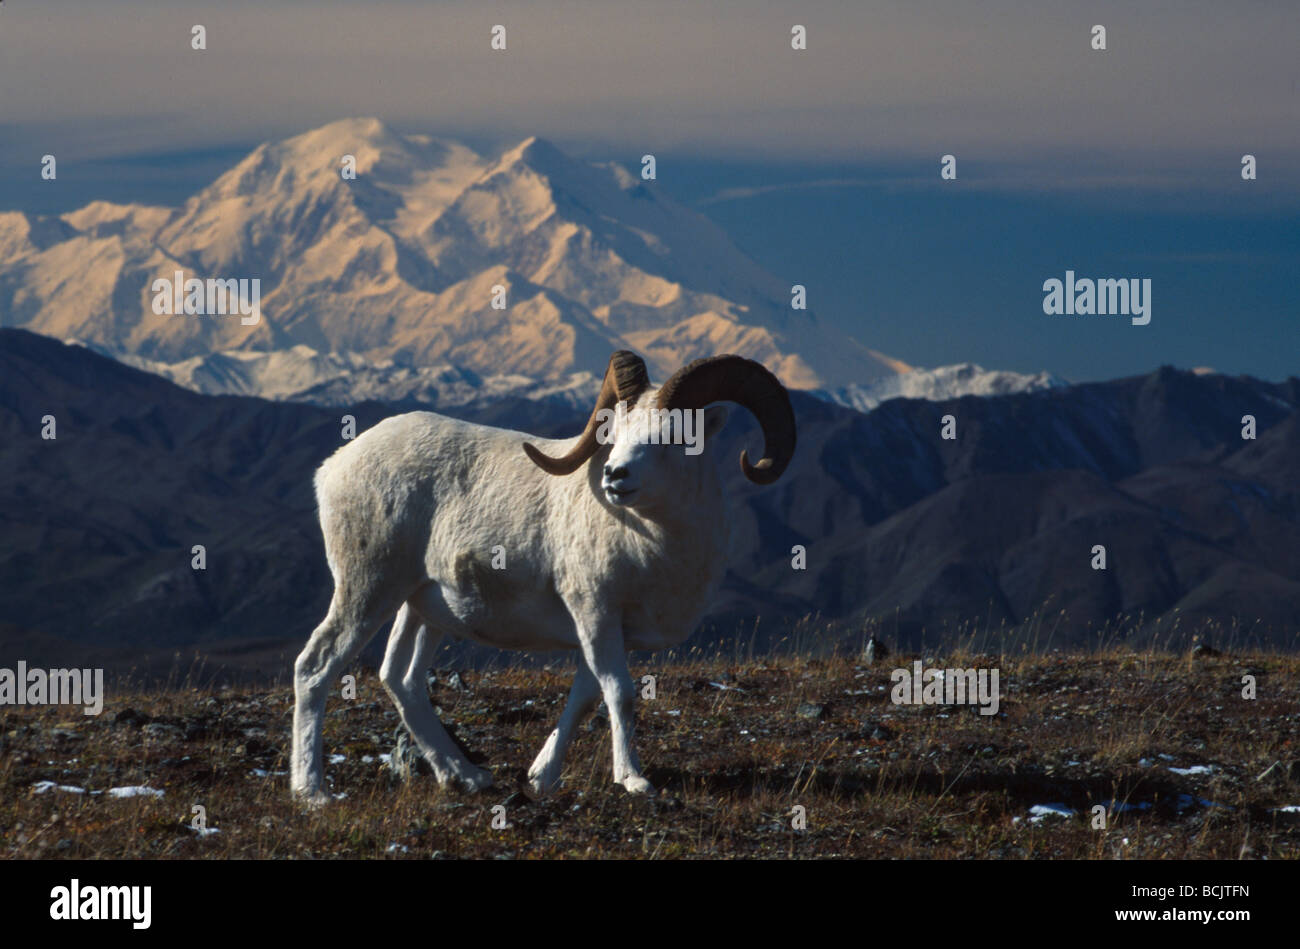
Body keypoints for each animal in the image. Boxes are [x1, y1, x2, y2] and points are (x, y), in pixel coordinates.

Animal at [290, 351, 797, 803]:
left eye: (675, 435)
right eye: (616, 432)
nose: (614, 475)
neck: (657, 543)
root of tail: (333, 467)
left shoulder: (608, 633)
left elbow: (585, 697)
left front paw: (541, 777)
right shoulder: (594, 614)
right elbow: (620, 694)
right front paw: (633, 780)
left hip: (420, 609)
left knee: (401, 678)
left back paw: (466, 778)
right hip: (367, 589)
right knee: (316, 666)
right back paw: (313, 792)